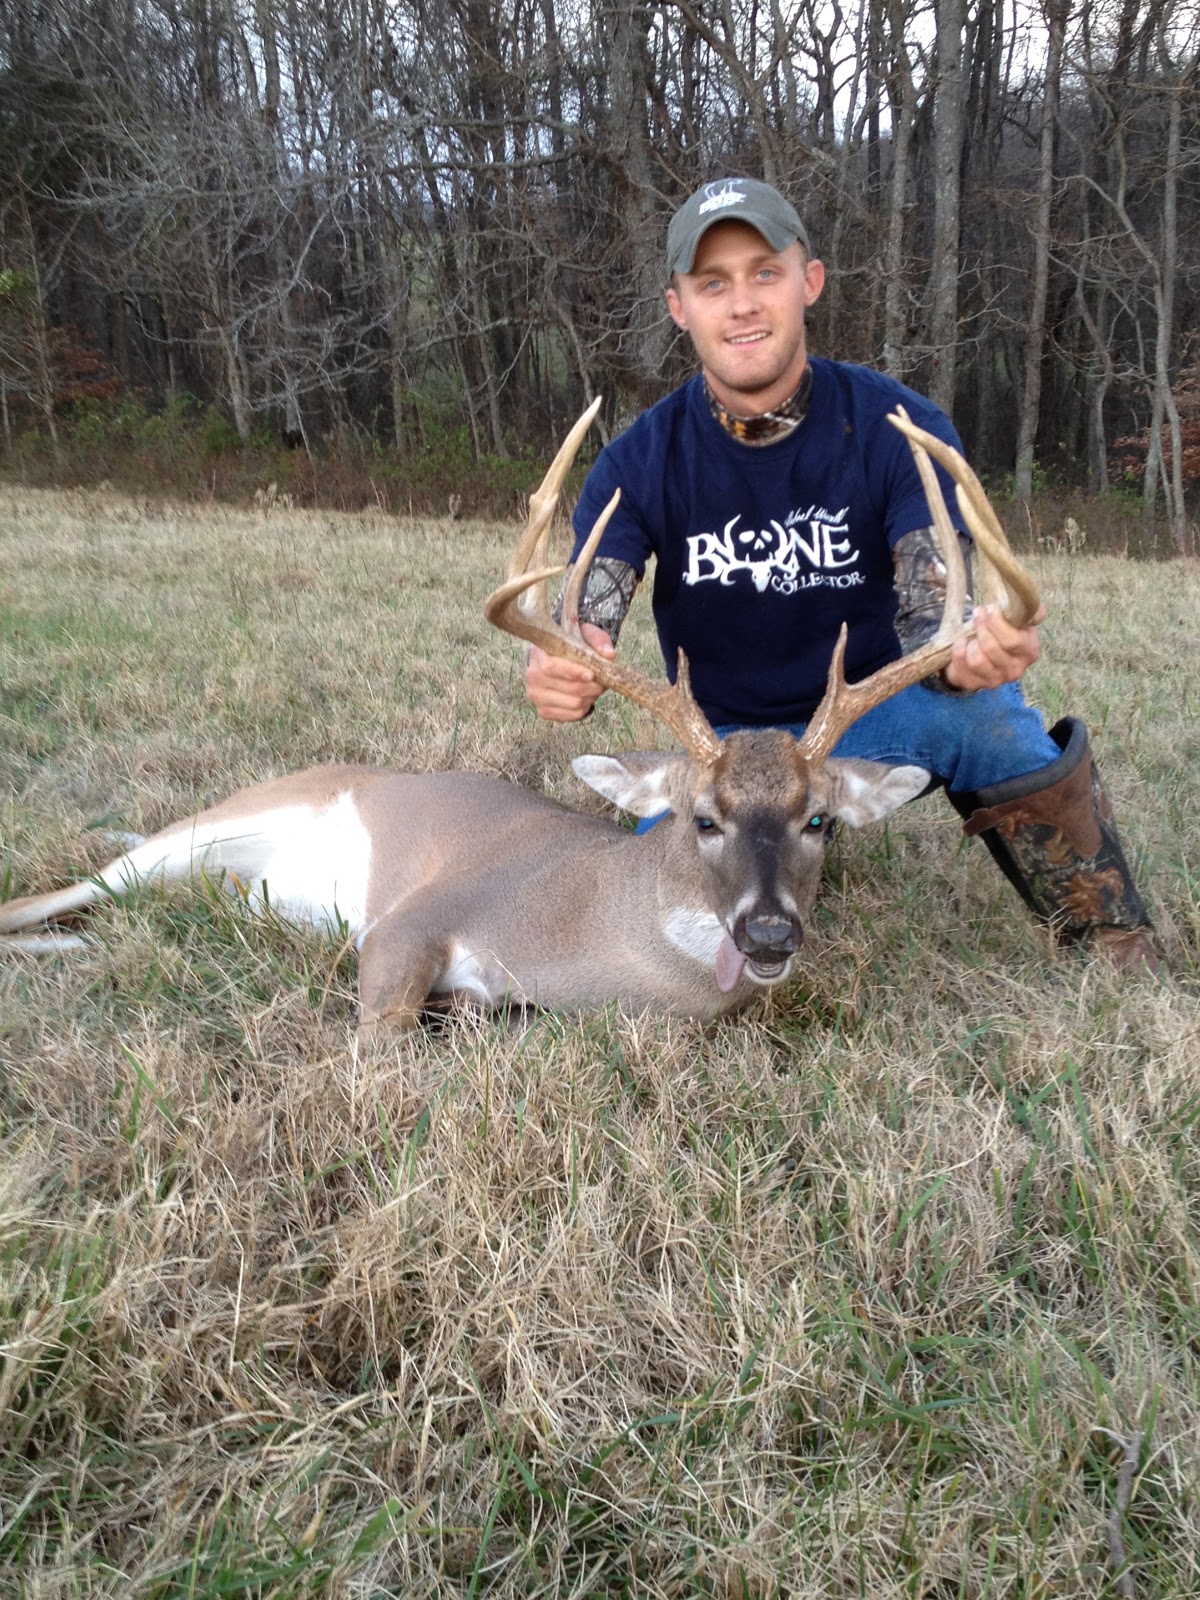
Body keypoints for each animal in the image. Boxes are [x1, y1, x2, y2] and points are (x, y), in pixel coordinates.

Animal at [0, 401, 1039, 1033]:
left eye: (818, 819)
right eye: (702, 819)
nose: (771, 937)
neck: (581, 935)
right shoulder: (409, 922)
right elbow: (380, 1041)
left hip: (210, 878)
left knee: (129, 912)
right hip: (207, 827)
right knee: (57, 891)